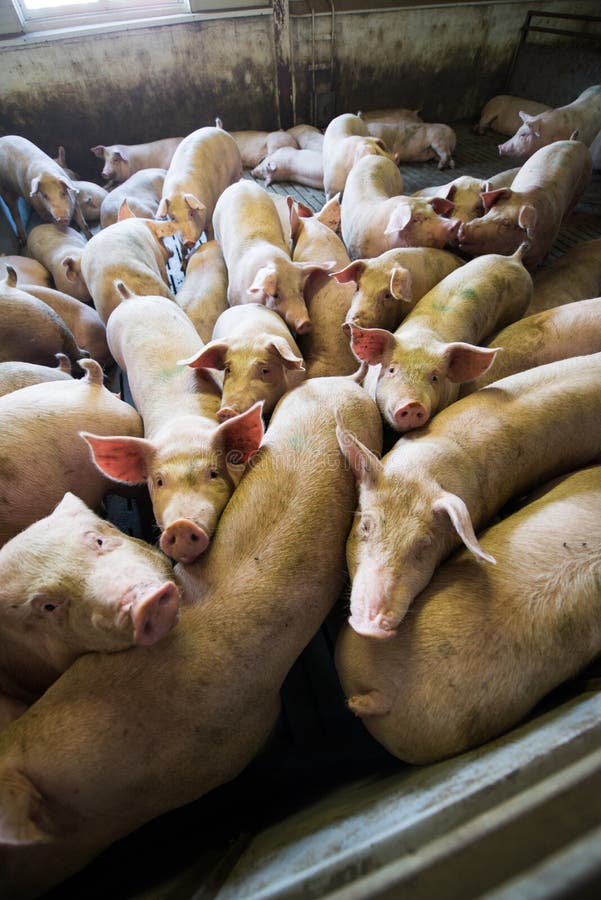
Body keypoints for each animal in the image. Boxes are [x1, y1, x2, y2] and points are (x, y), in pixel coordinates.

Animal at [457, 139, 593, 270]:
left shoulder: (537, 254)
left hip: (580, 190)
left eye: (506, 223)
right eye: (491, 211)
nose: (463, 227)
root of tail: (575, 141)